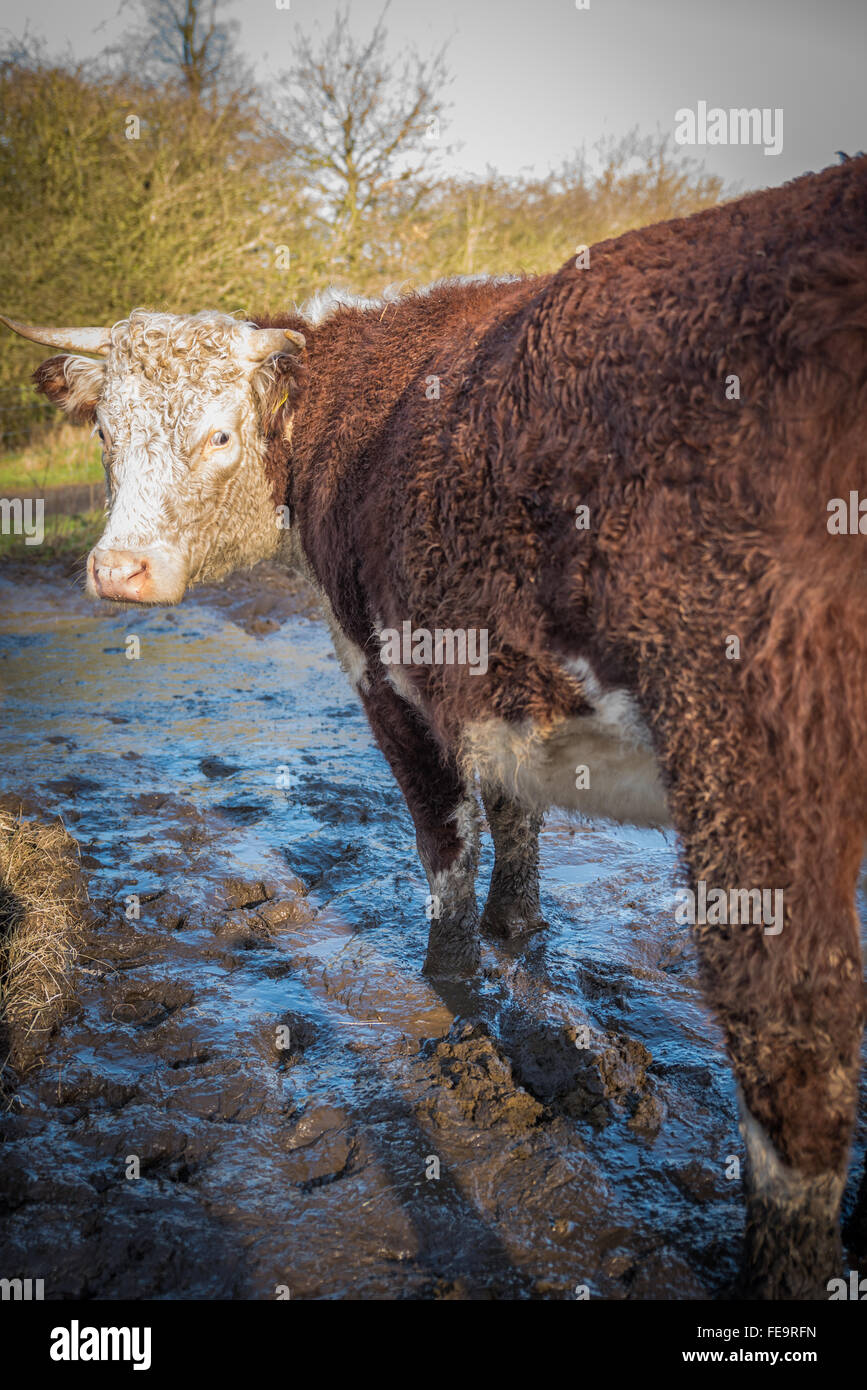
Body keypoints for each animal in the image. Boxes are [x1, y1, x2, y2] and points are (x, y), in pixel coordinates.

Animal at [3, 155, 867, 1300]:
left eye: (219, 434)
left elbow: (445, 845)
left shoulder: (387, 672)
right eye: (105, 432)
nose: (118, 570)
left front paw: (450, 985)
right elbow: (515, 817)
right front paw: (518, 935)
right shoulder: (493, 684)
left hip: (757, 766)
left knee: (794, 1053)